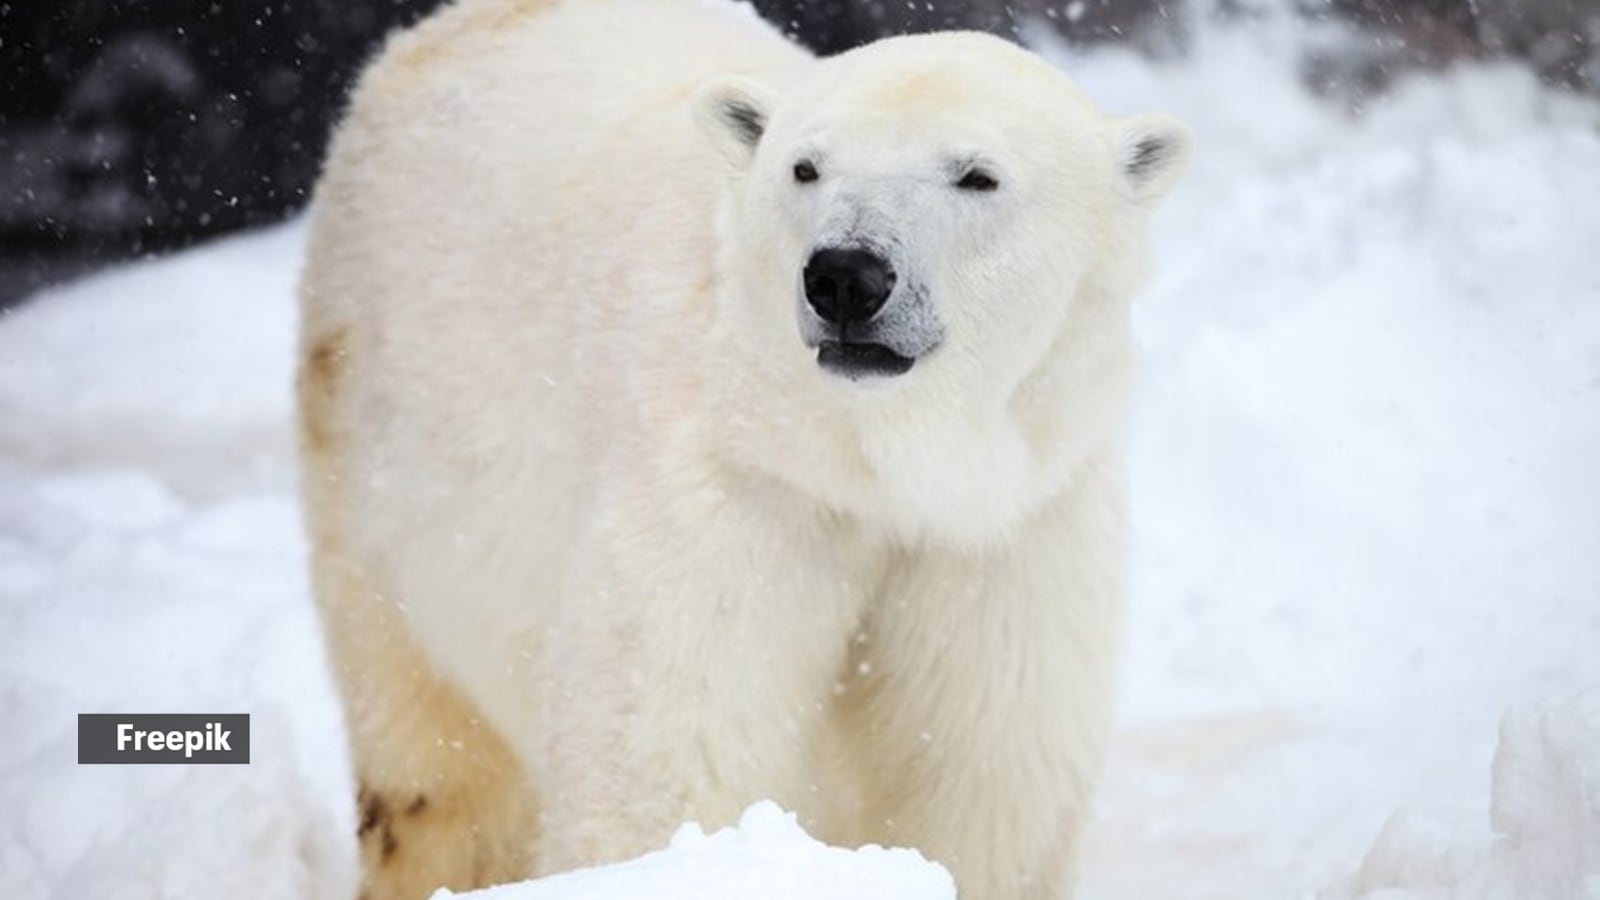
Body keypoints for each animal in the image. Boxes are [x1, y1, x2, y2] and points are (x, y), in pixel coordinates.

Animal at [296, 0, 1189, 898]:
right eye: (805, 167)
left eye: (977, 175)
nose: (846, 276)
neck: (872, 466)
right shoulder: (733, 495)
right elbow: (670, 755)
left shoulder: (1002, 534)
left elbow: (983, 776)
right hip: (377, 436)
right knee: (433, 761)